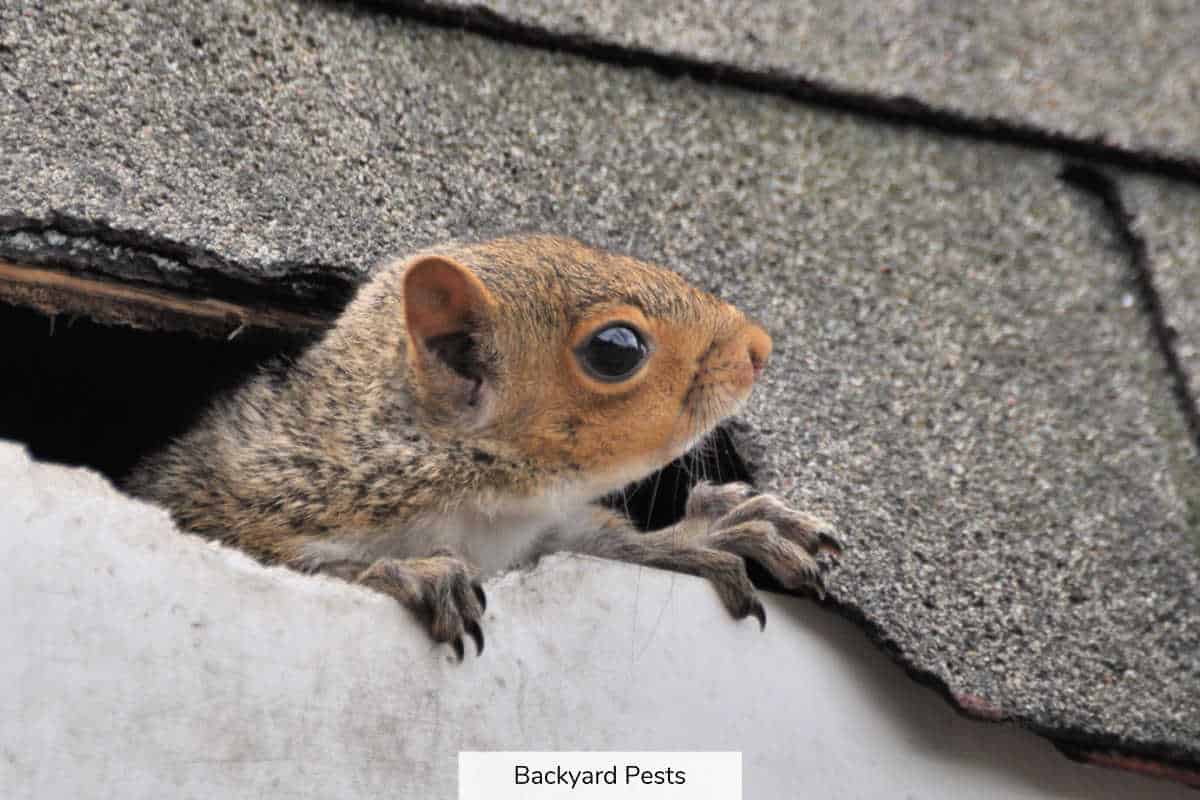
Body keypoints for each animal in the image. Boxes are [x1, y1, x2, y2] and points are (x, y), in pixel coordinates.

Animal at [124, 235, 839, 659]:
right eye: (616, 349)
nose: (758, 349)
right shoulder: (262, 498)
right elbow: (291, 564)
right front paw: (410, 572)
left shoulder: (540, 534)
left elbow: (609, 542)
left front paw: (723, 530)